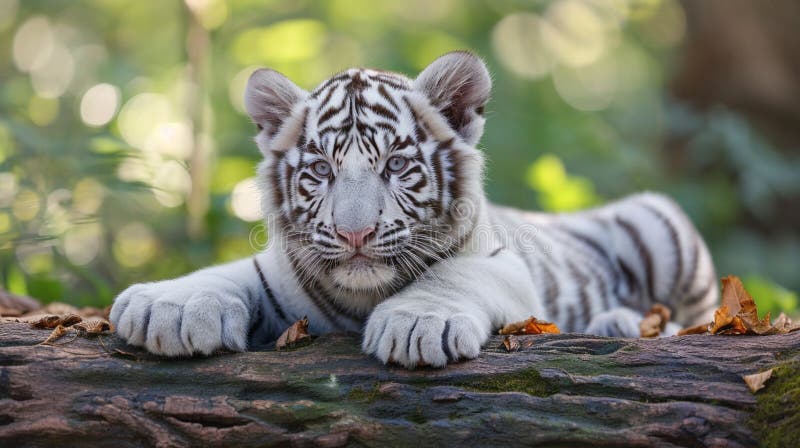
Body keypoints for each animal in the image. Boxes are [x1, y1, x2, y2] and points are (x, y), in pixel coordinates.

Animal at [109, 51, 718, 368]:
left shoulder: (503, 265)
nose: (354, 234)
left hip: (664, 228)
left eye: (396, 166)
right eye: (322, 170)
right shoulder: (281, 272)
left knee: (702, 318)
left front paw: (418, 323)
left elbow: (451, 276)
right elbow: (230, 273)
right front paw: (168, 307)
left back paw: (629, 322)